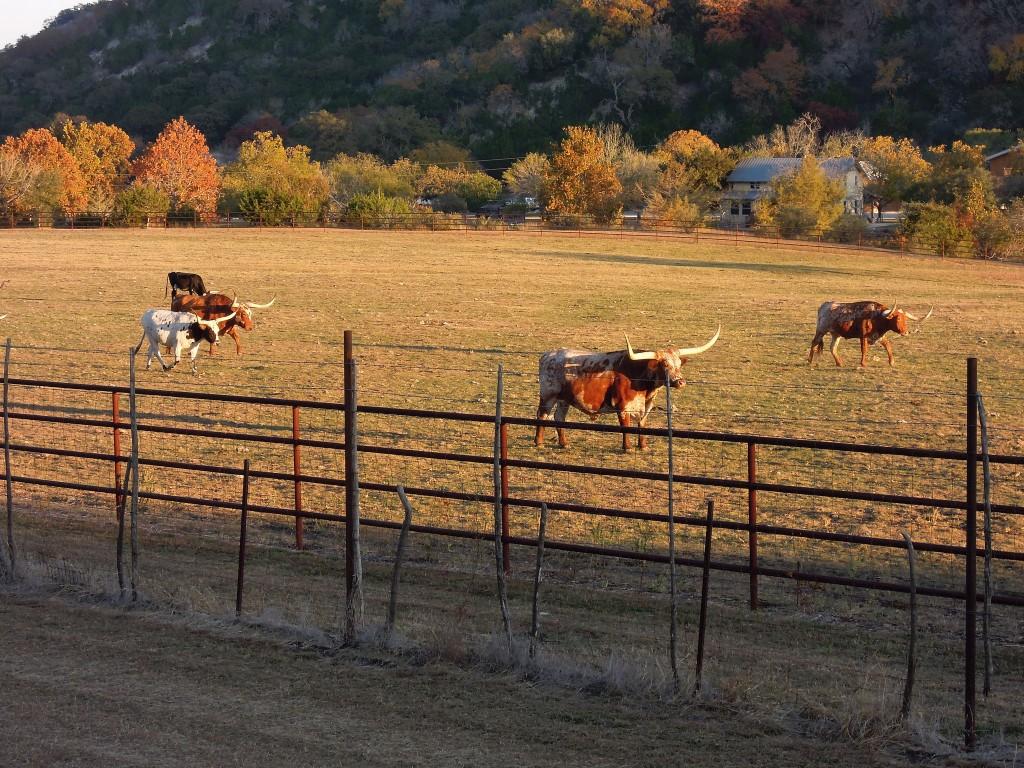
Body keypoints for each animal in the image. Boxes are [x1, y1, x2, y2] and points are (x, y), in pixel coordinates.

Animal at [535, 327, 721, 451]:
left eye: (679, 364)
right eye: (665, 364)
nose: (681, 382)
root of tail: (548, 355)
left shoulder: (647, 406)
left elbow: (642, 424)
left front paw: (643, 446)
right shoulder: (623, 406)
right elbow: (626, 426)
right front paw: (628, 447)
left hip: (564, 399)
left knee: (559, 417)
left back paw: (564, 443)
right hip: (548, 396)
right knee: (542, 415)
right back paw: (539, 442)